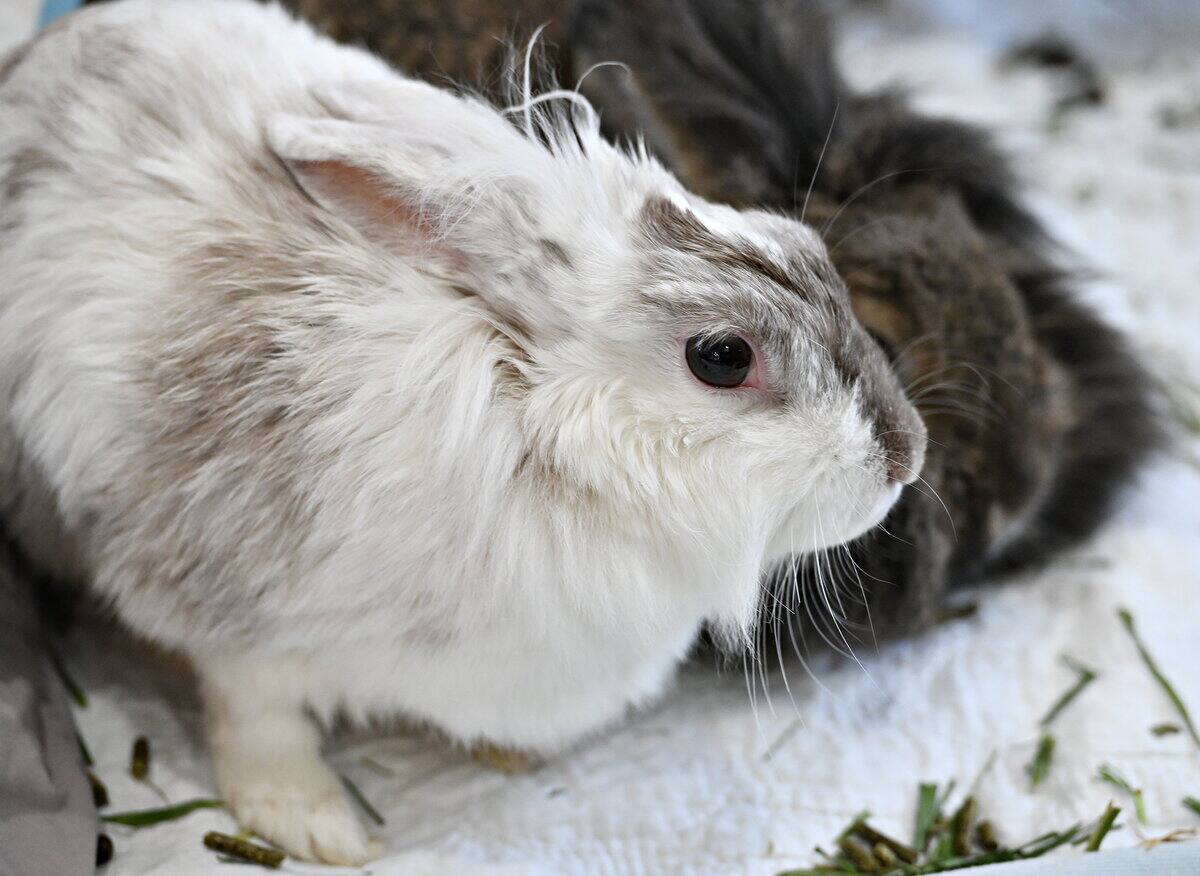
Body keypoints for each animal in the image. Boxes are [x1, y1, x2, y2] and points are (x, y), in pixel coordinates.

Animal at [0, 0, 924, 864]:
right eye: (723, 357)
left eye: (805, 244)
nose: (905, 457)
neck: (532, 431)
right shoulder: (233, 624)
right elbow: (262, 726)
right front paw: (317, 830)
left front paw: (504, 758)